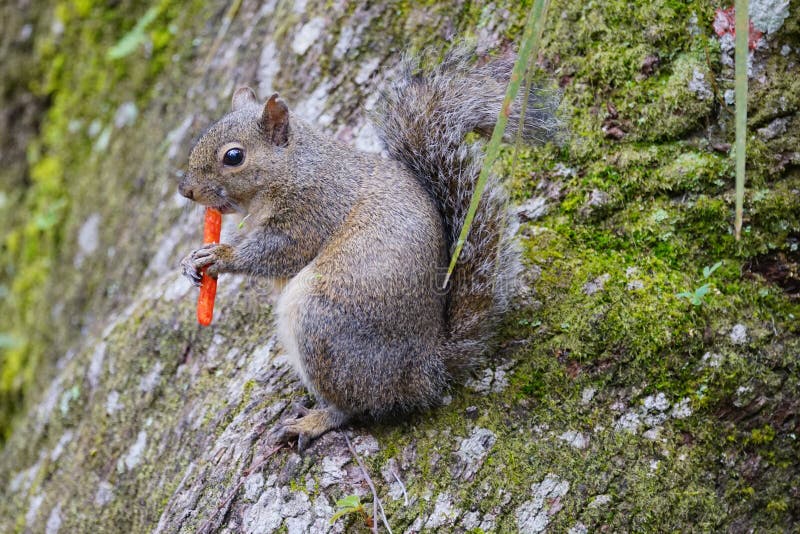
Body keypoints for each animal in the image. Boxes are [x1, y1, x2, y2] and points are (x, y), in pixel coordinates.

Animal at [179, 47, 558, 449]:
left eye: (233, 156)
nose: (185, 190)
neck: (295, 168)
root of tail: (426, 369)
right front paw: (190, 259)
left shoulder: (314, 213)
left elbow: (277, 252)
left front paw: (220, 256)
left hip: (322, 323)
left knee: (355, 406)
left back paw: (313, 421)